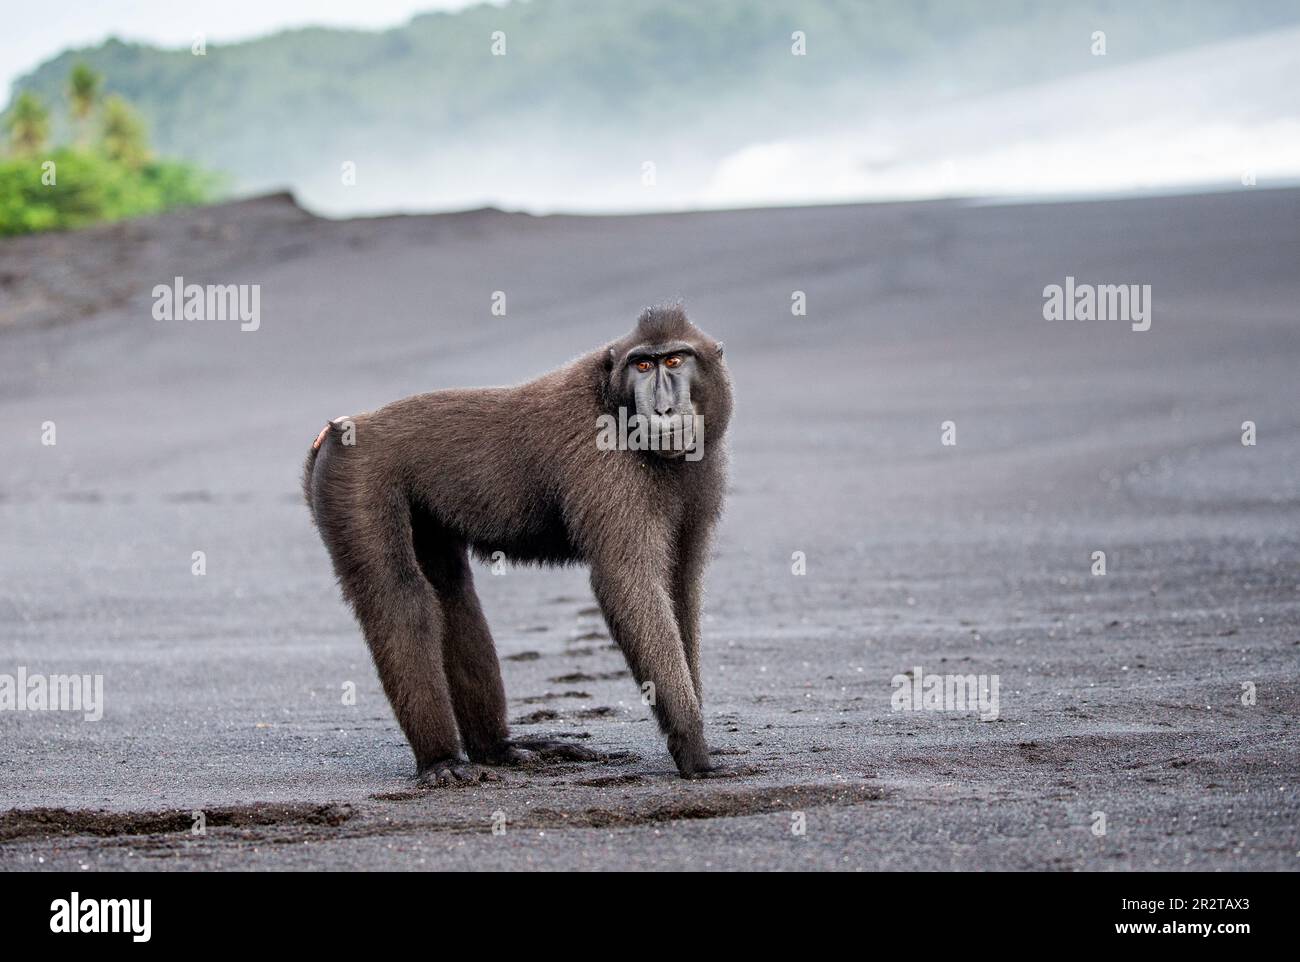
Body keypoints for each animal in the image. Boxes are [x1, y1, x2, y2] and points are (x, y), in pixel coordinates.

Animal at [303, 305, 732, 783]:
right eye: (643, 366)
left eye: (674, 361)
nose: (662, 408)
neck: (612, 399)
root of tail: (345, 425)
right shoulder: (604, 462)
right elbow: (630, 586)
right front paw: (692, 747)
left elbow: (681, 586)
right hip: (354, 475)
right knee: (399, 600)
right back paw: (442, 760)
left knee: (452, 596)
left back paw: (496, 749)